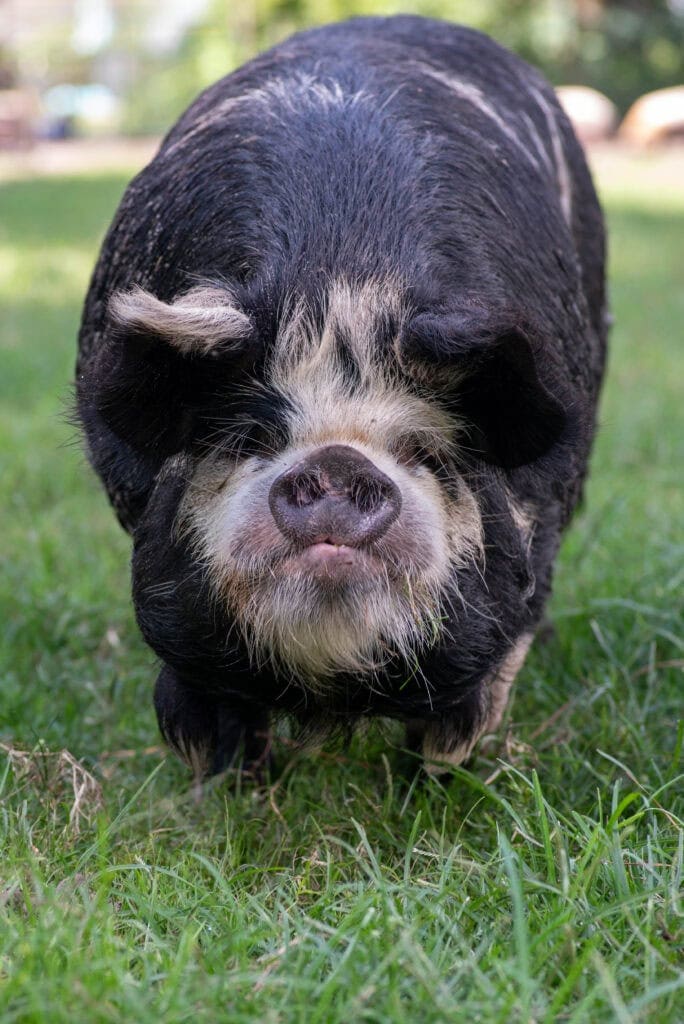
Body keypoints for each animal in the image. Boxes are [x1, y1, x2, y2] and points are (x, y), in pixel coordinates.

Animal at [76, 16, 607, 779]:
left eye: (425, 451)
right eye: (252, 438)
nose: (338, 461)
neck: (340, 287)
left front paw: (430, 779)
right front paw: (229, 785)